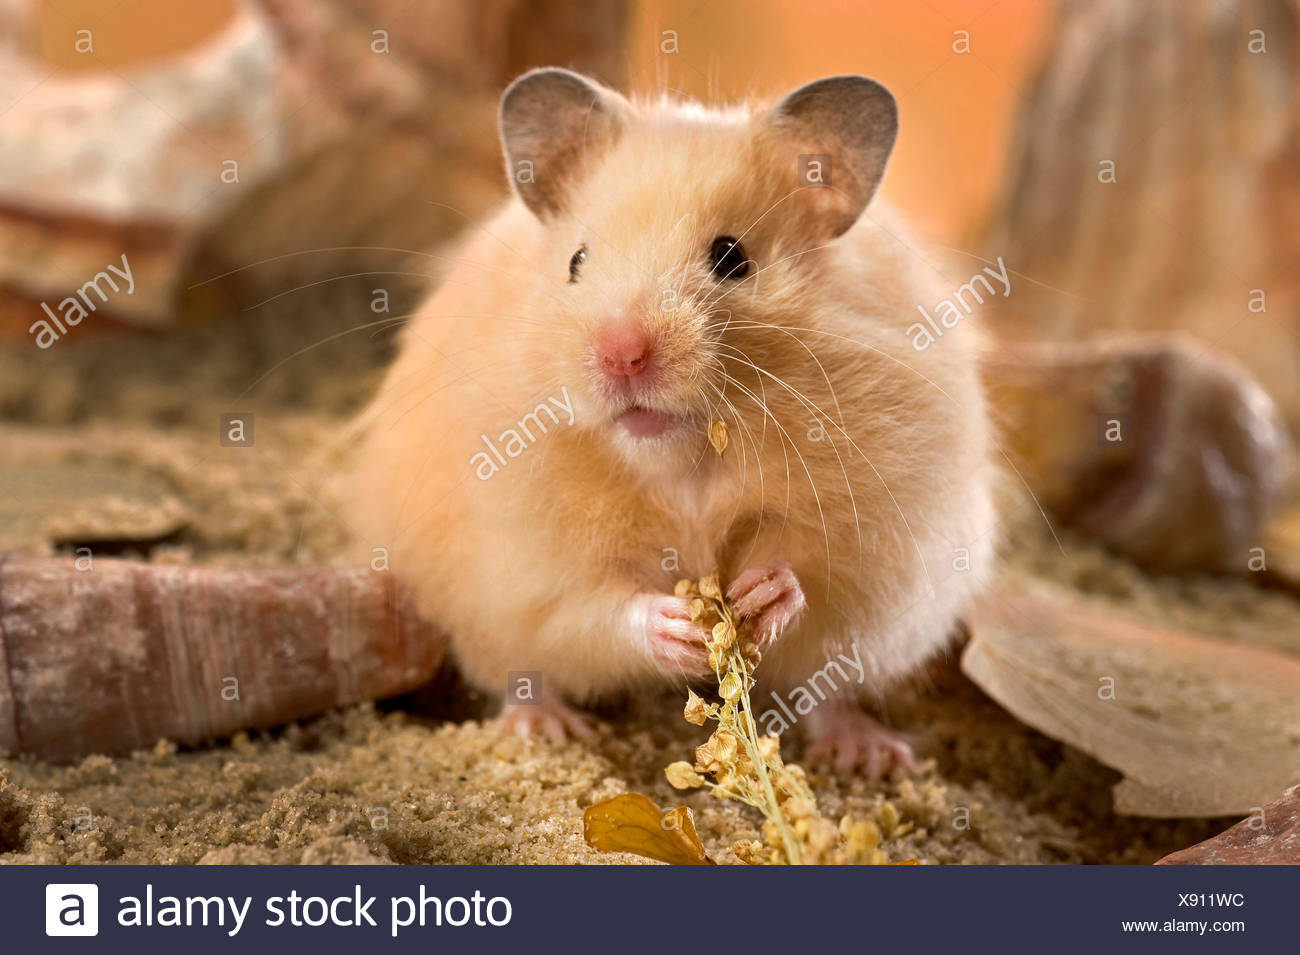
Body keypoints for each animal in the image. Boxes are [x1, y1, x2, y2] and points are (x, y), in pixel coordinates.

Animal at [349, 69, 995, 775]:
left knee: (830, 691)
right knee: (525, 675)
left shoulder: (876, 542)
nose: (622, 354)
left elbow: (809, 573)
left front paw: (762, 594)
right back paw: (545, 730)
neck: (681, 463)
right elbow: (597, 607)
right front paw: (674, 624)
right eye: (576, 261)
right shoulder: (528, 561)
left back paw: (870, 755)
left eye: (732, 258)